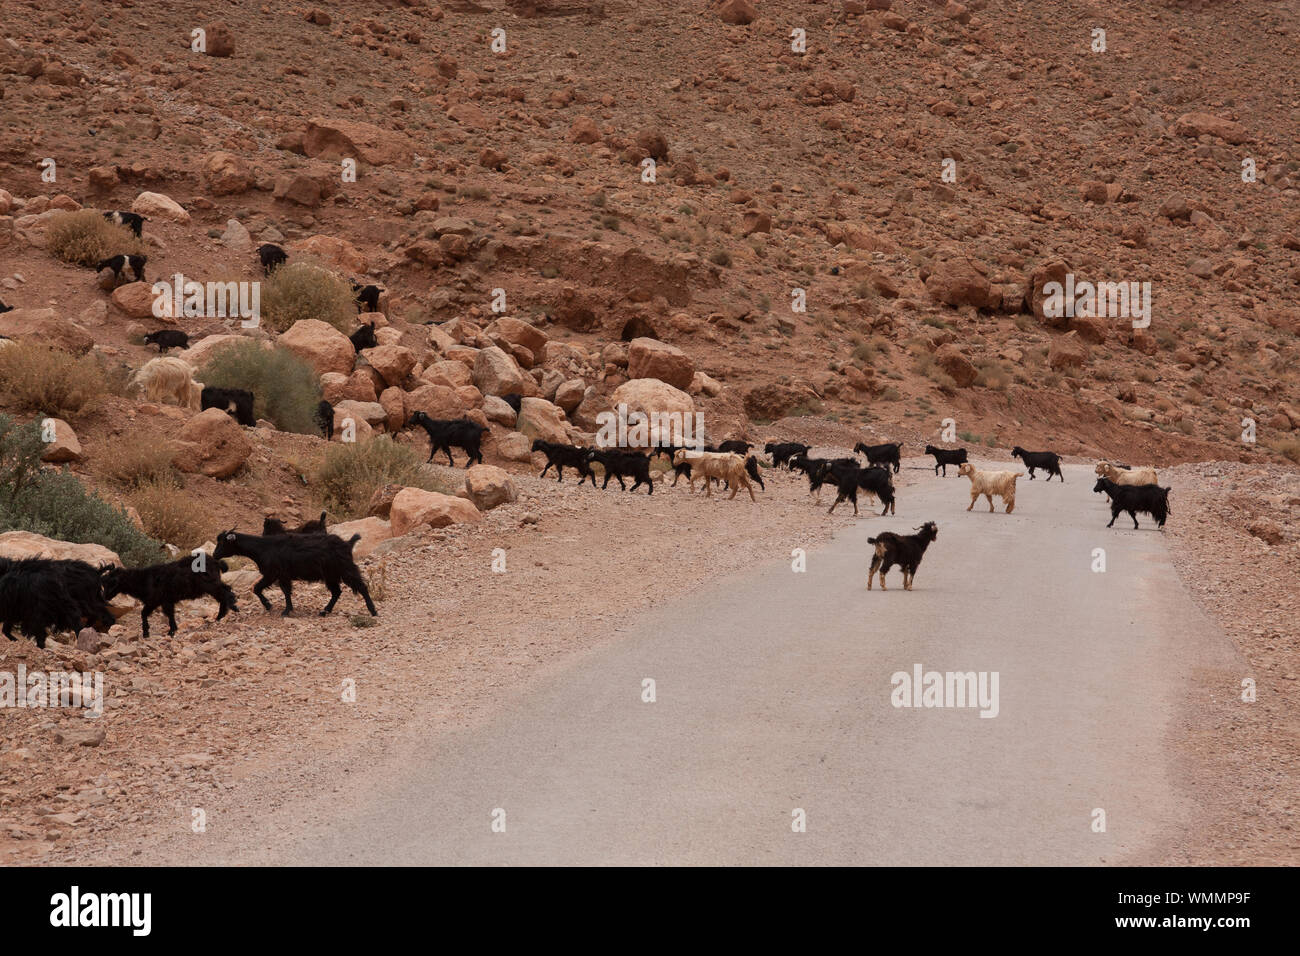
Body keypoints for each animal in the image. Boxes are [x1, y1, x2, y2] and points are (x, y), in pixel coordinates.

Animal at [99, 557, 237, 639]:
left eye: (112, 583)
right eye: (103, 583)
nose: (105, 597)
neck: (143, 579)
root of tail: (216, 562)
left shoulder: (159, 600)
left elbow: (160, 614)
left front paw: (167, 632)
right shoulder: (159, 601)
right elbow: (152, 614)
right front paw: (150, 633)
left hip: (211, 584)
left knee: (225, 592)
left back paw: (230, 611)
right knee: (225, 592)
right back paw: (221, 616)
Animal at [213, 530, 376, 617]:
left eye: (222, 543)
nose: (214, 555)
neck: (263, 548)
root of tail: (347, 544)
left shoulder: (274, 573)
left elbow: (259, 588)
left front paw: (274, 607)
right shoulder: (281, 576)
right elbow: (282, 591)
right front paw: (283, 608)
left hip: (345, 569)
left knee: (361, 586)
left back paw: (373, 611)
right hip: (330, 575)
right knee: (337, 592)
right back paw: (325, 611)